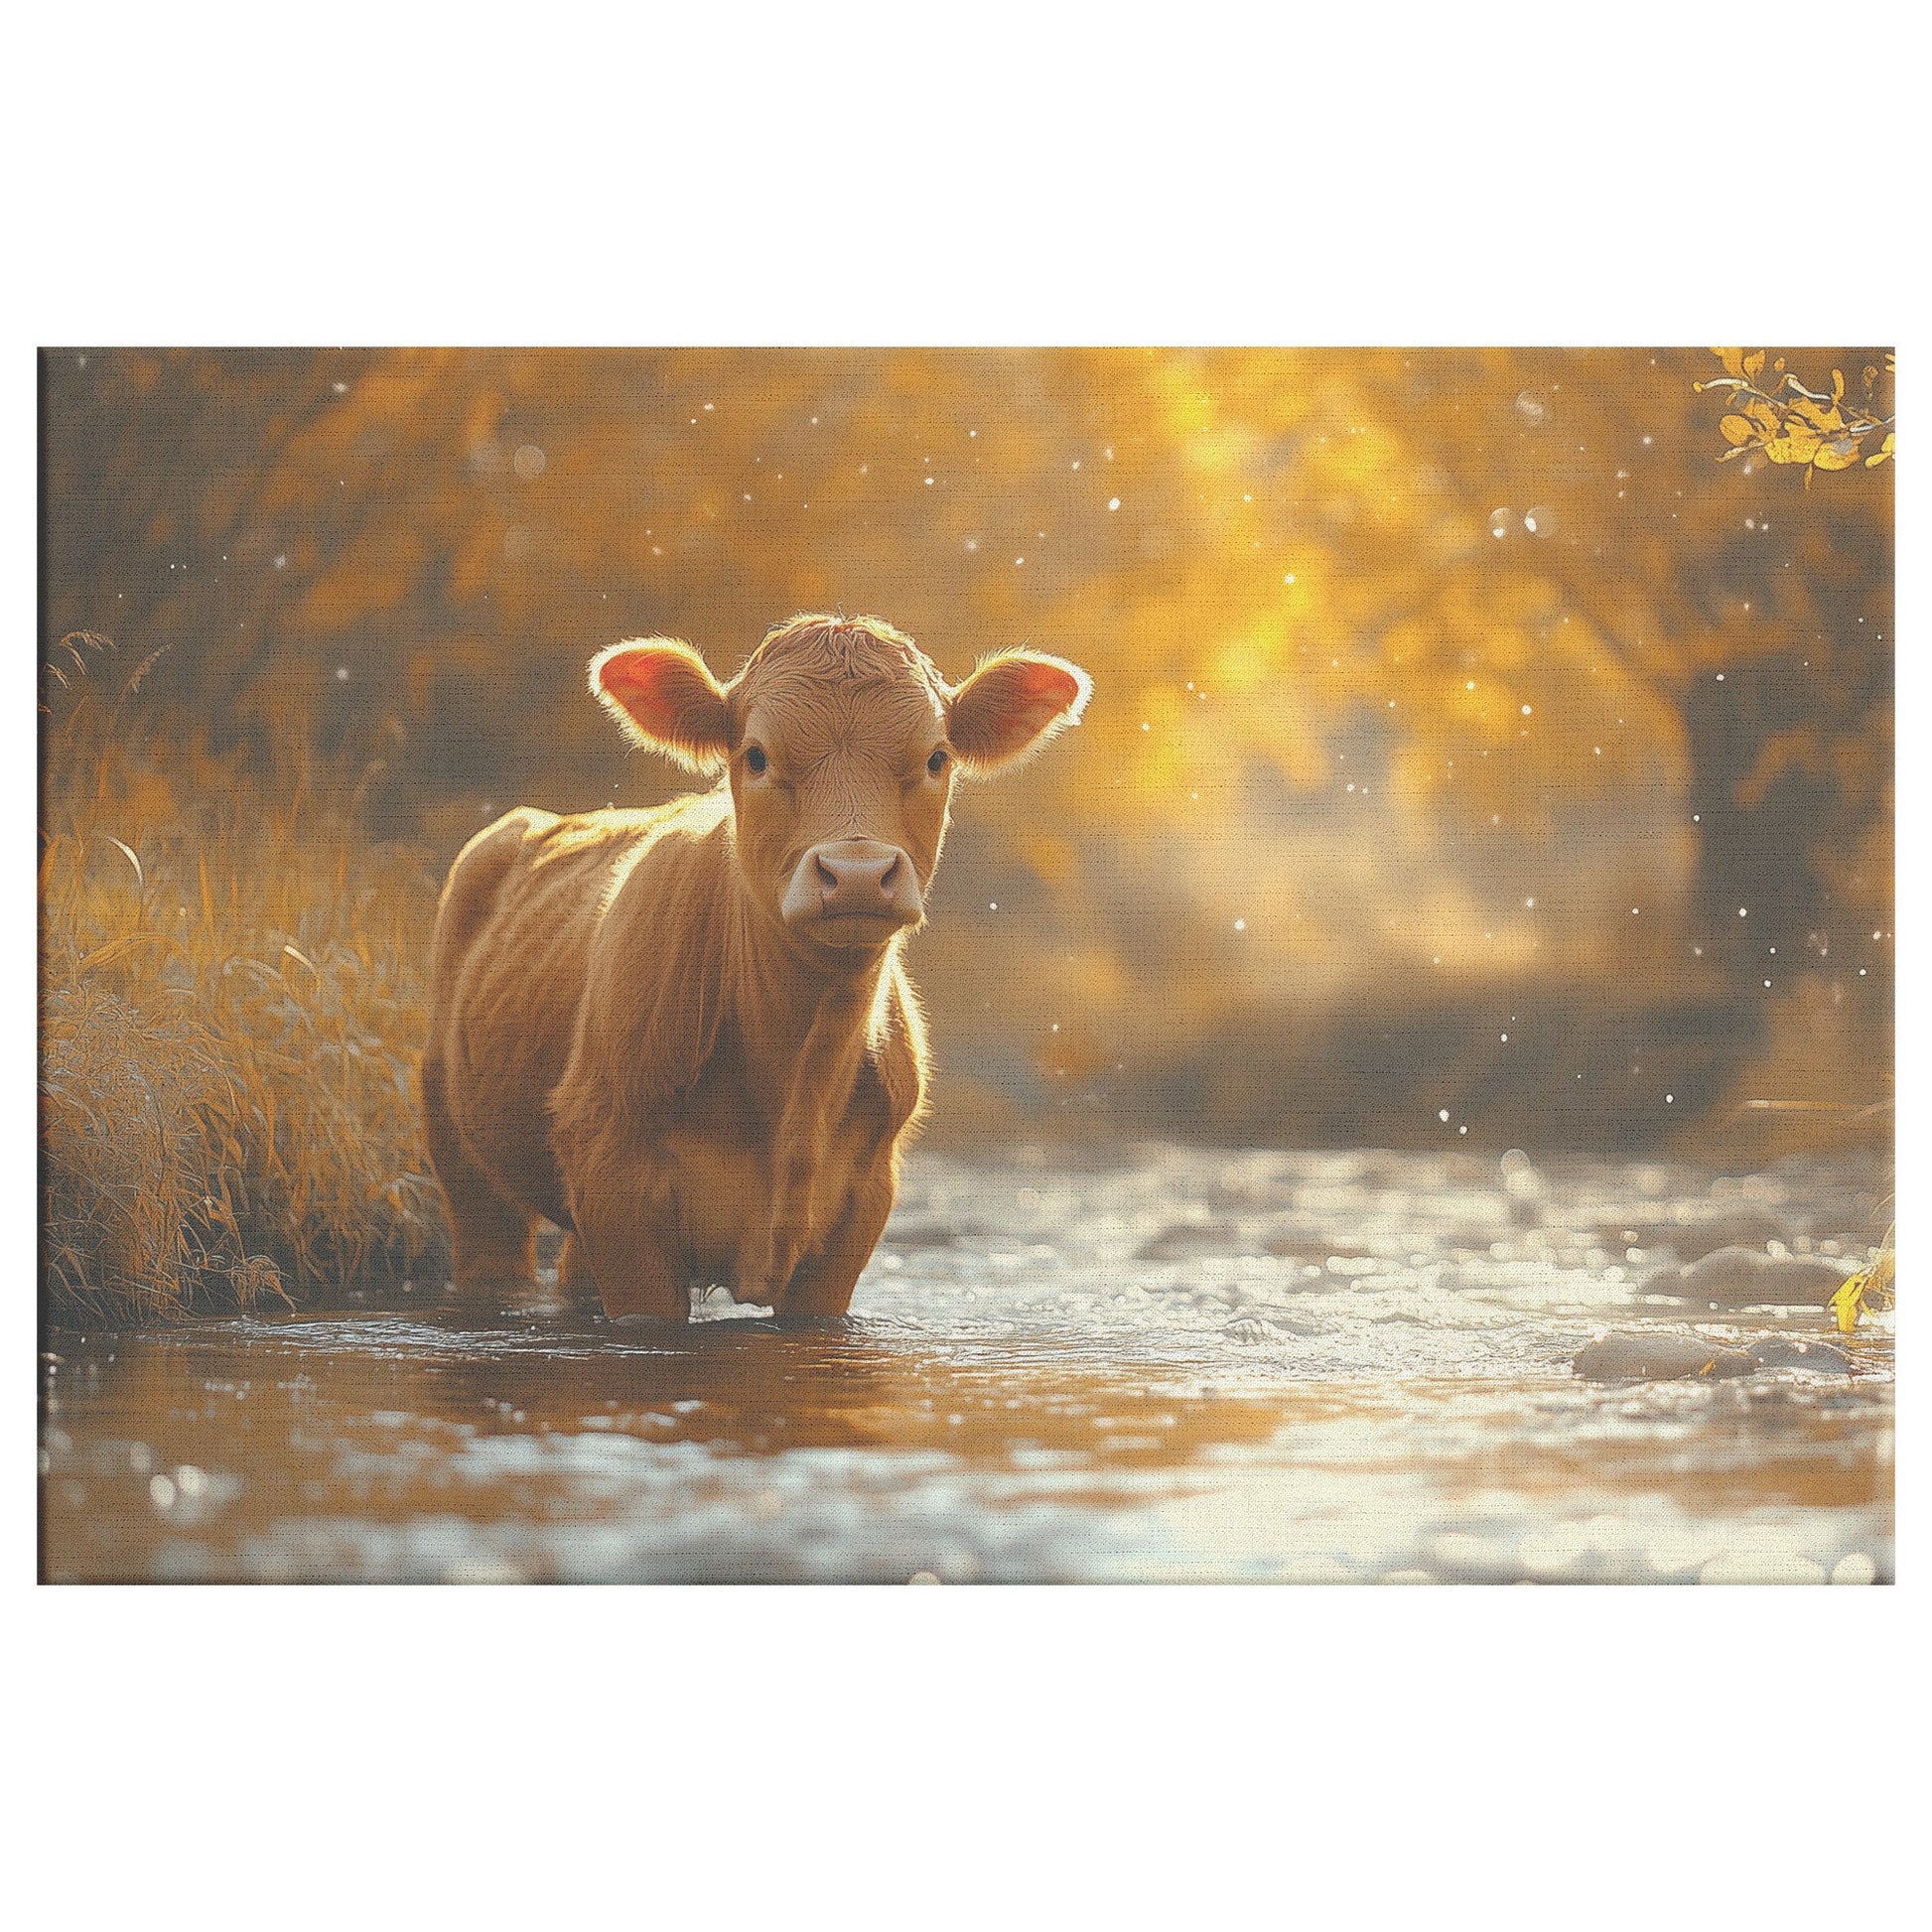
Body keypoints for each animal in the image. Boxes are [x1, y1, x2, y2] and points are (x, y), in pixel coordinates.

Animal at [420, 613, 1092, 1323]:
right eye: (757, 755)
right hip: (461, 1151)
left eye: (936, 757)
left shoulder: (856, 1213)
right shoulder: (618, 1185)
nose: (857, 874)